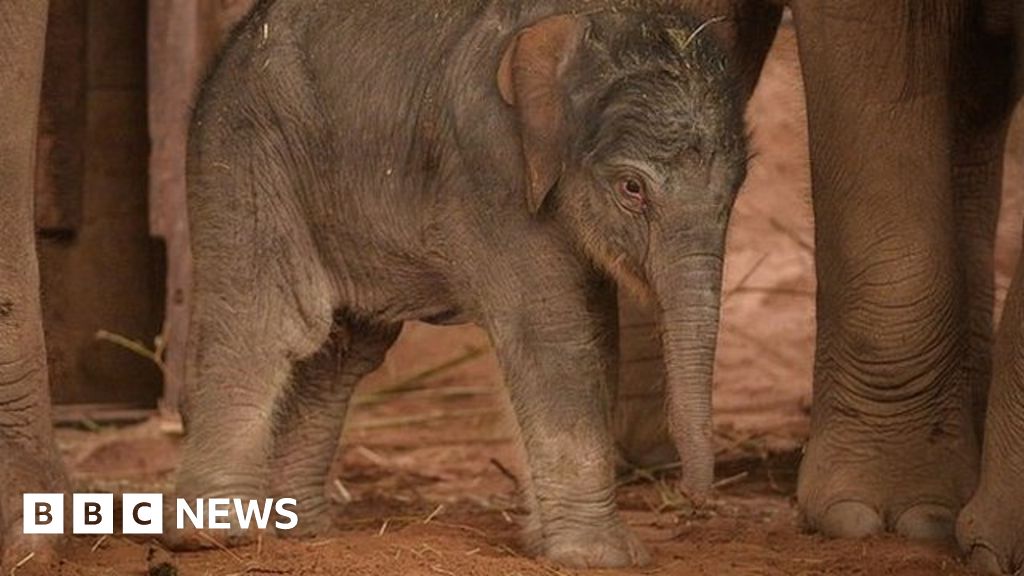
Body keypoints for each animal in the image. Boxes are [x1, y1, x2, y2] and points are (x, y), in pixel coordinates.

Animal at [168, 0, 748, 568]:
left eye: (736, 190)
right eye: (632, 189)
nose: (694, 504)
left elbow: (598, 333)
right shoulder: (490, 170)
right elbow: (553, 330)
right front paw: (600, 557)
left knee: (344, 353)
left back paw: (302, 531)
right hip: (246, 150)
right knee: (266, 324)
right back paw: (213, 538)